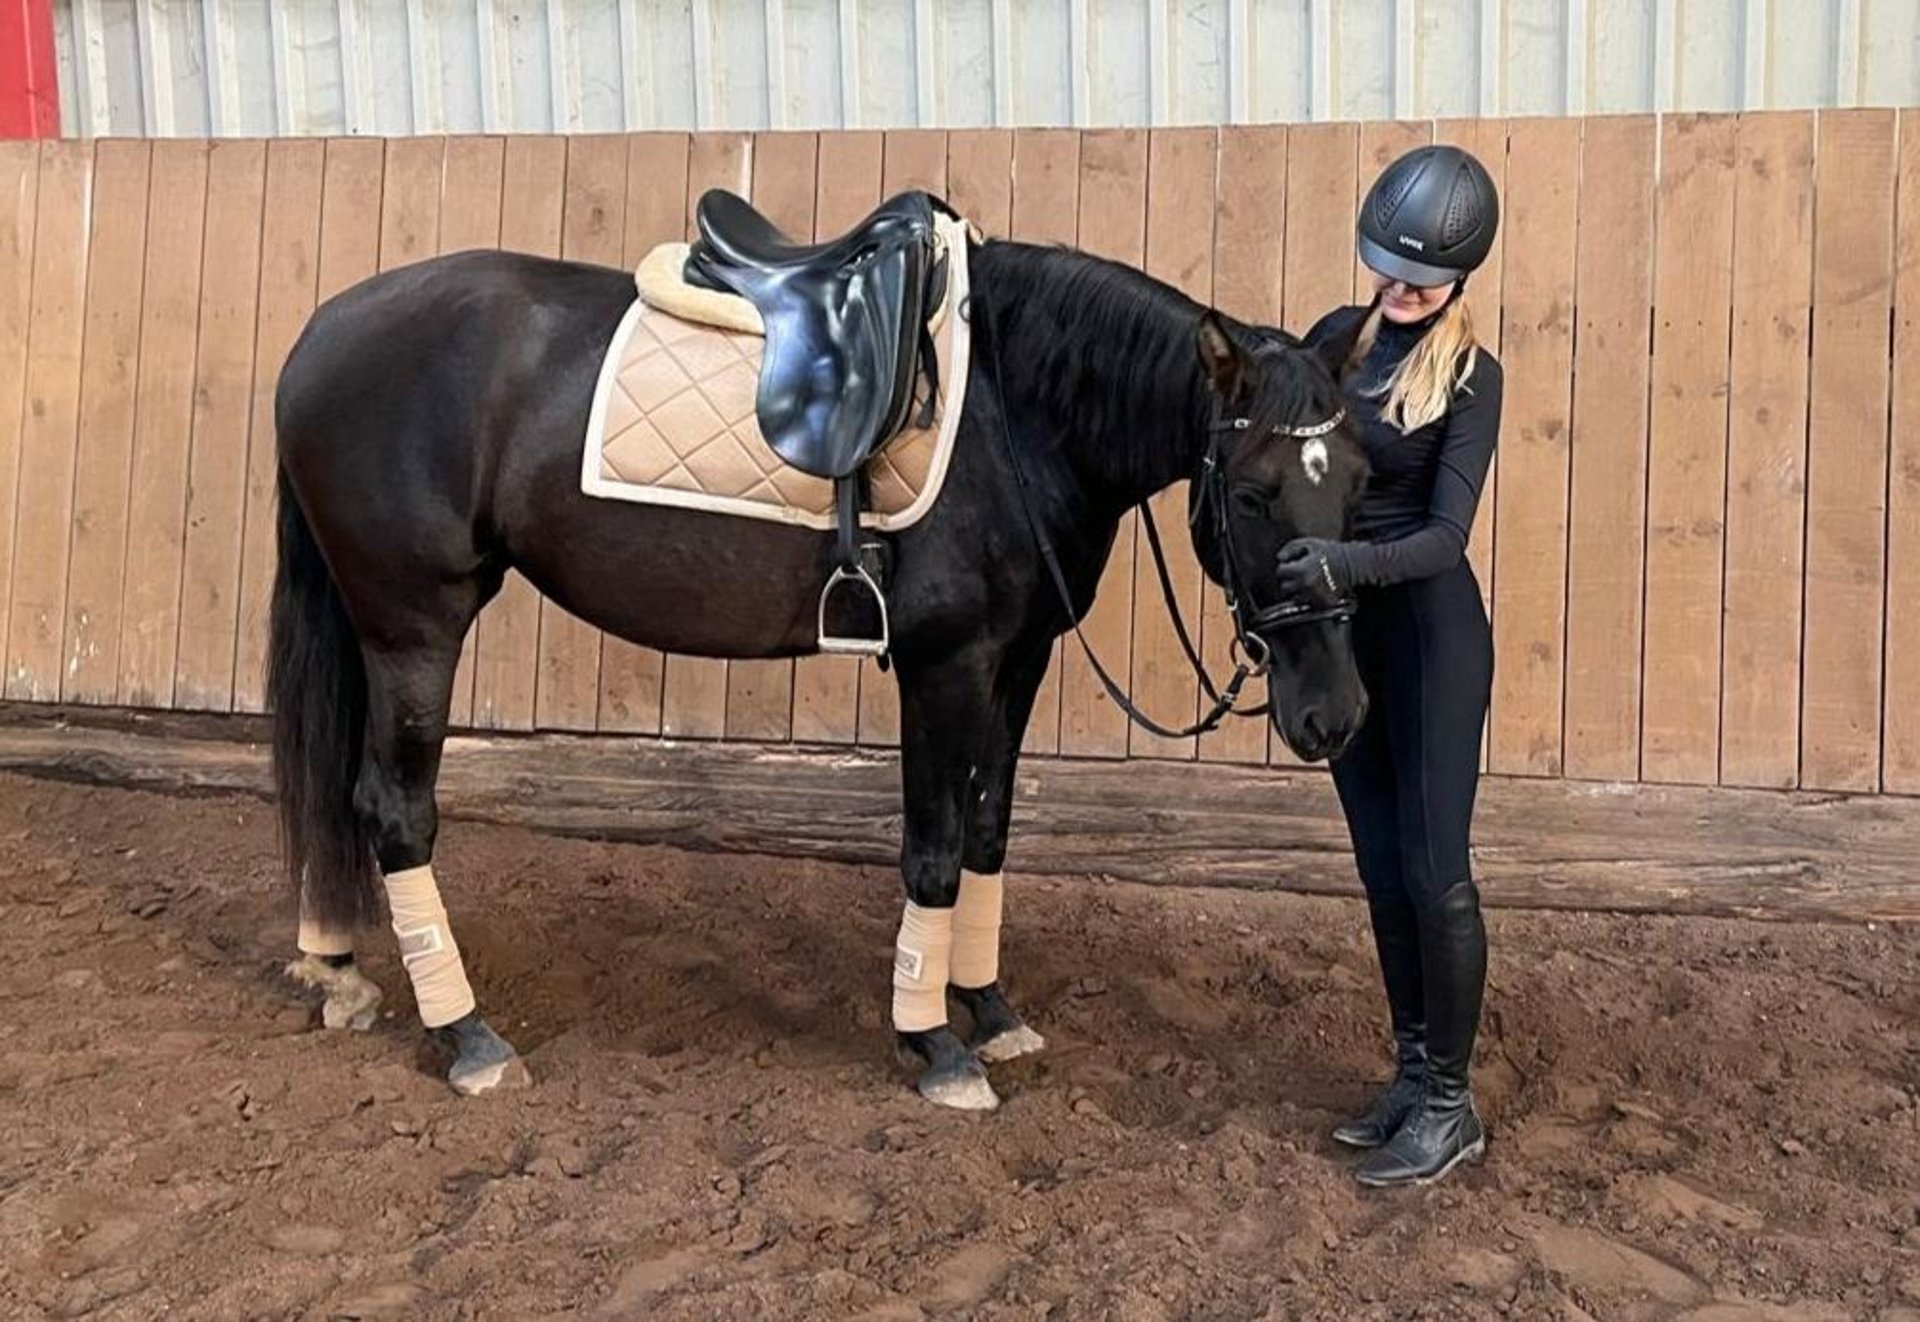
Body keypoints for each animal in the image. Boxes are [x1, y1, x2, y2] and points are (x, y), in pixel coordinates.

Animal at [268, 214, 1372, 1112]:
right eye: (1257, 490)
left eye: (1358, 477)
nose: (1337, 716)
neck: (1014, 411)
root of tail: (323, 331)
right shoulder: (946, 663)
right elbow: (933, 846)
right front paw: (933, 1044)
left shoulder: (1018, 660)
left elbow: (987, 831)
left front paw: (988, 1008)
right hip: (414, 624)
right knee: (394, 808)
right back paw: (467, 1036)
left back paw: (339, 966)